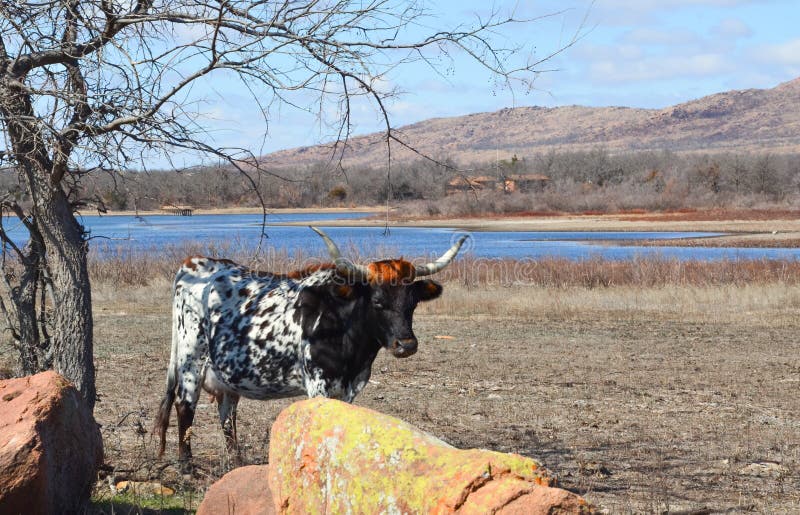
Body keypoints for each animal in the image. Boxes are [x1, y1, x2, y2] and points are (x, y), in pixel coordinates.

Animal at [155, 226, 467, 462]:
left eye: (412, 304)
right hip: (190, 360)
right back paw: (186, 465)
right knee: (185, 407)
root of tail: (195, 263)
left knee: (227, 415)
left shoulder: (350, 388)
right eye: (378, 301)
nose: (407, 344)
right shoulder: (318, 385)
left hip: (227, 373)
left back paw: (236, 461)